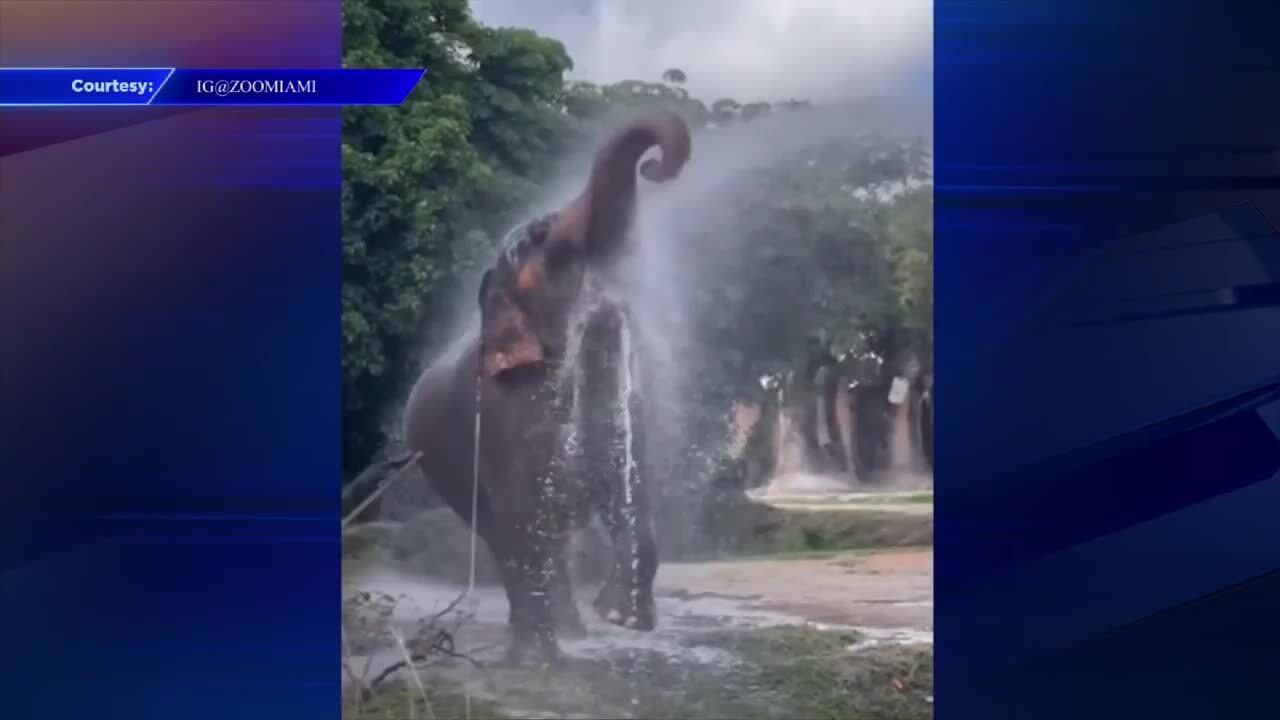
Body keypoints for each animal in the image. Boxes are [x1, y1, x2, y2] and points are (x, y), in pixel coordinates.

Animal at [401, 110, 691, 665]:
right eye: (543, 238)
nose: (654, 167)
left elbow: (629, 491)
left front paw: (621, 619)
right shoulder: (503, 415)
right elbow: (521, 518)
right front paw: (539, 666)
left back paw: (574, 633)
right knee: (506, 539)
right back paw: (540, 646)